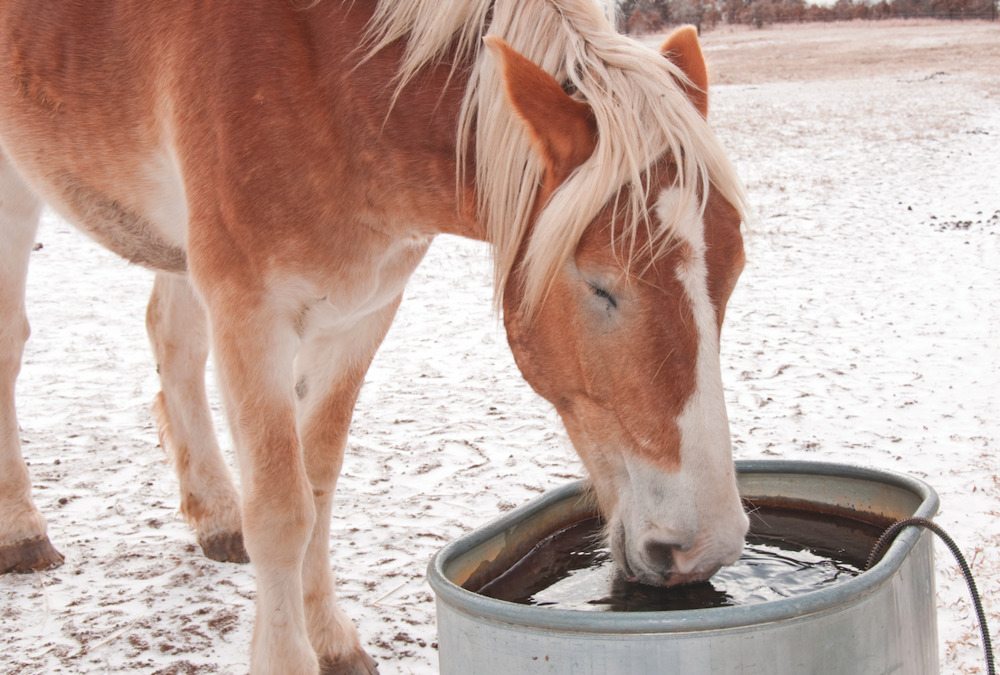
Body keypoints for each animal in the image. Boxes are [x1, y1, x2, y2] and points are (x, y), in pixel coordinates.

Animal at [0, 1, 750, 673]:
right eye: (600, 285)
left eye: (735, 271)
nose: (703, 549)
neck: (332, 75)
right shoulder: (250, 314)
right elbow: (281, 509)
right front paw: (287, 658)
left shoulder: (362, 314)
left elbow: (317, 485)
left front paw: (331, 639)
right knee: (14, 342)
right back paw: (21, 531)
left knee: (172, 341)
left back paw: (214, 515)